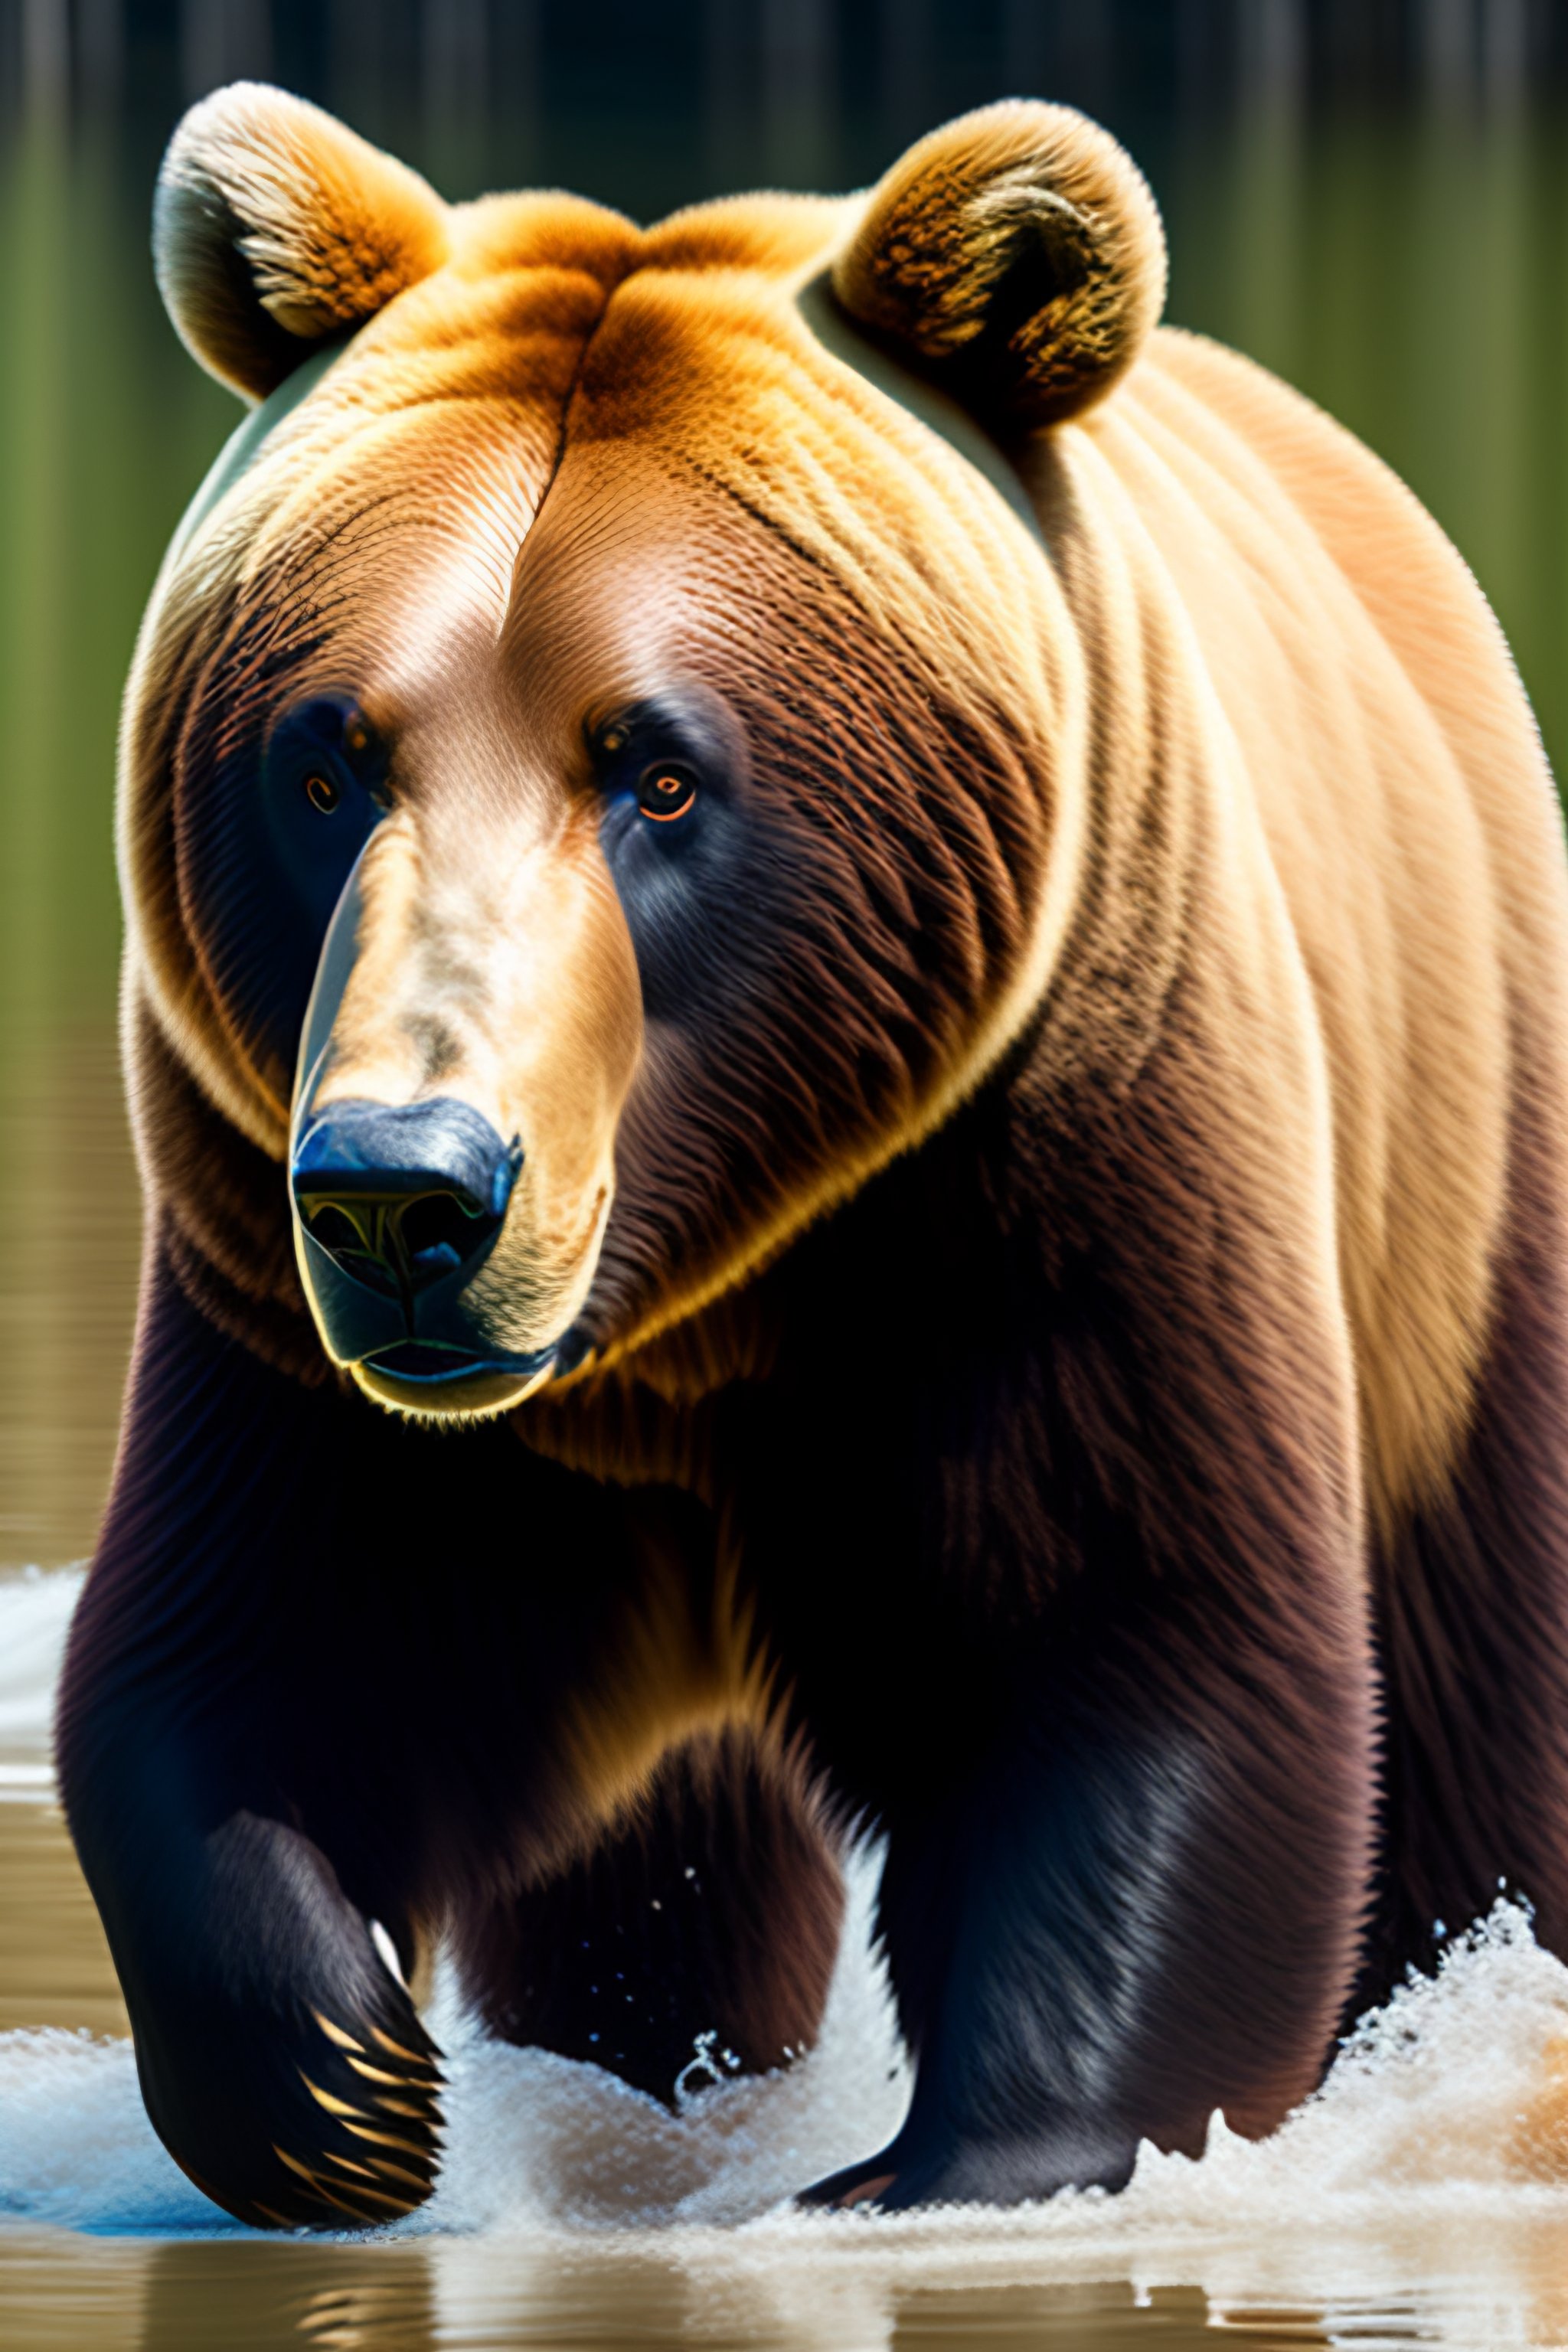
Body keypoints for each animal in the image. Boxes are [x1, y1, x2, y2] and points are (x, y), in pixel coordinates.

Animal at [55, 80, 1568, 2229]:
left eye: (657, 766)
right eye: (328, 756)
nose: (412, 1193)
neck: (694, 1294)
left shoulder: (1056, 1189)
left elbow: (1134, 1650)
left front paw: (961, 2160)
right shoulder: (278, 1270)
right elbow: (256, 1635)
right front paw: (350, 2083)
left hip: (1455, 1164)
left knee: (1469, 1662)